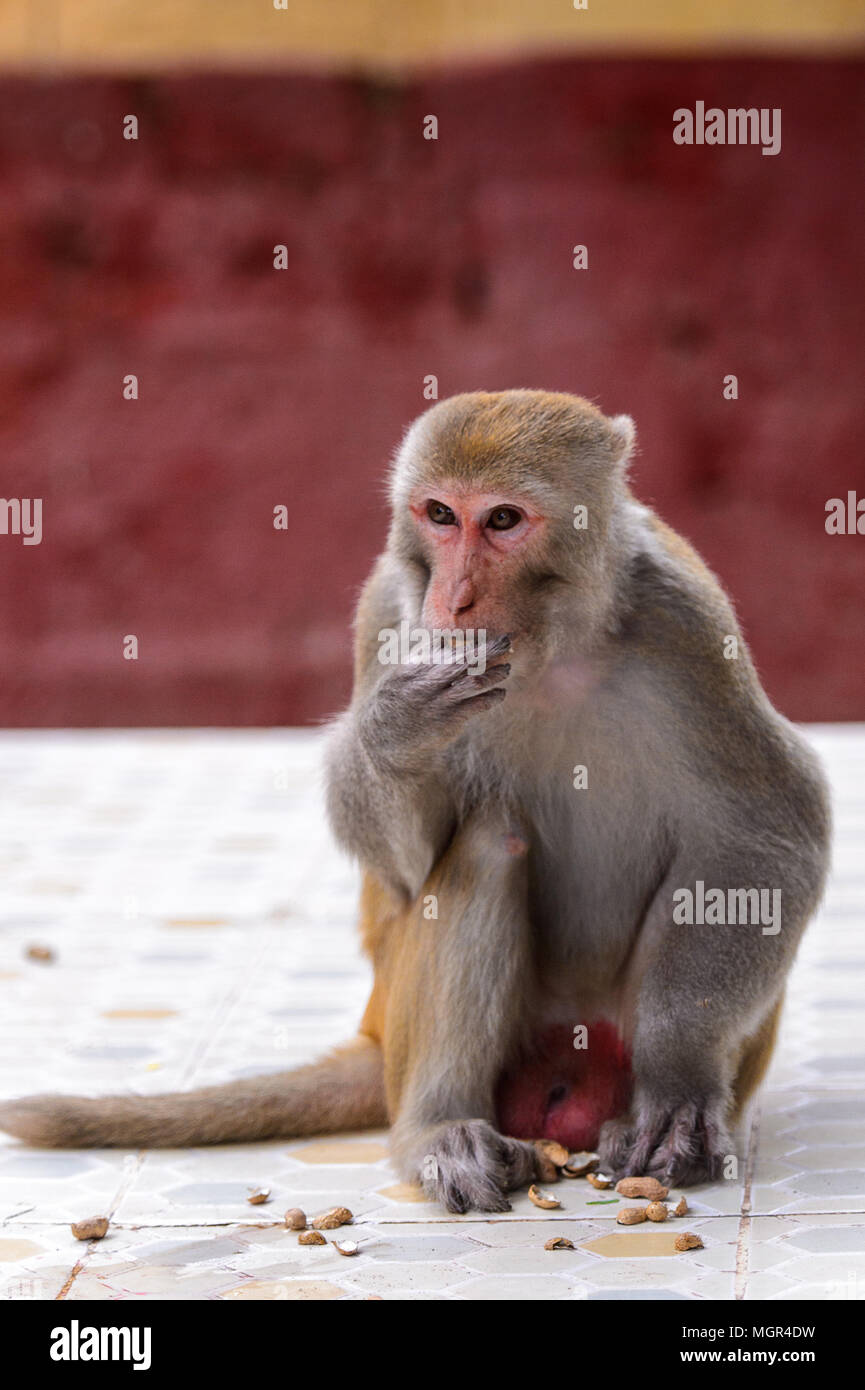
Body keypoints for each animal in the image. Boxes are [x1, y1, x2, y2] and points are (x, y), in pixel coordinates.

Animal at [0, 390, 830, 1215]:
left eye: (502, 520)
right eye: (437, 514)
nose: (452, 598)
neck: (549, 650)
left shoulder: (685, 619)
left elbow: (765, 834)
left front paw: (677, 1077)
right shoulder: (387, 616)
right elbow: (404, 869)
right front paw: (396, 732)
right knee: (490, 843)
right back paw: (441, 1128)